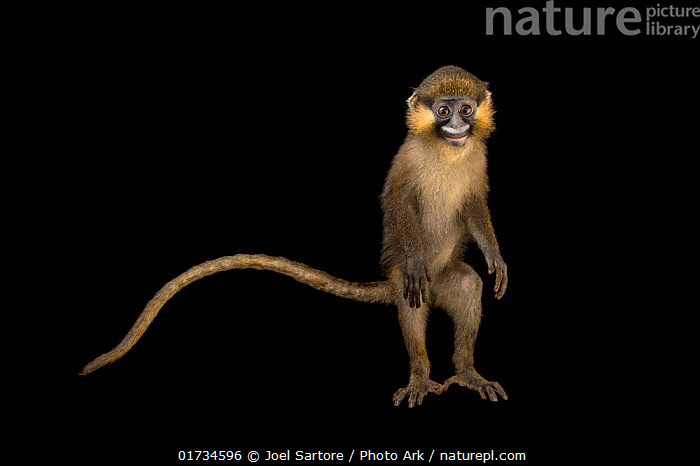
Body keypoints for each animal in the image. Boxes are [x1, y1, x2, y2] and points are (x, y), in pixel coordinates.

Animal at [81, 65, 508, 408]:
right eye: (443, 111)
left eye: (466, 109)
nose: (457, 127)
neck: (447, 152)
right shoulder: (406, 162)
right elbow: (400, 206)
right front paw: (419, 259)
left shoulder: (478, 161)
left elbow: (474, 206)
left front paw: (495, 256)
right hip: (406, 280)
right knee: (413, 300)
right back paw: (420, 375)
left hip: (445, 280)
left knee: (467, 286)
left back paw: (467, 372)